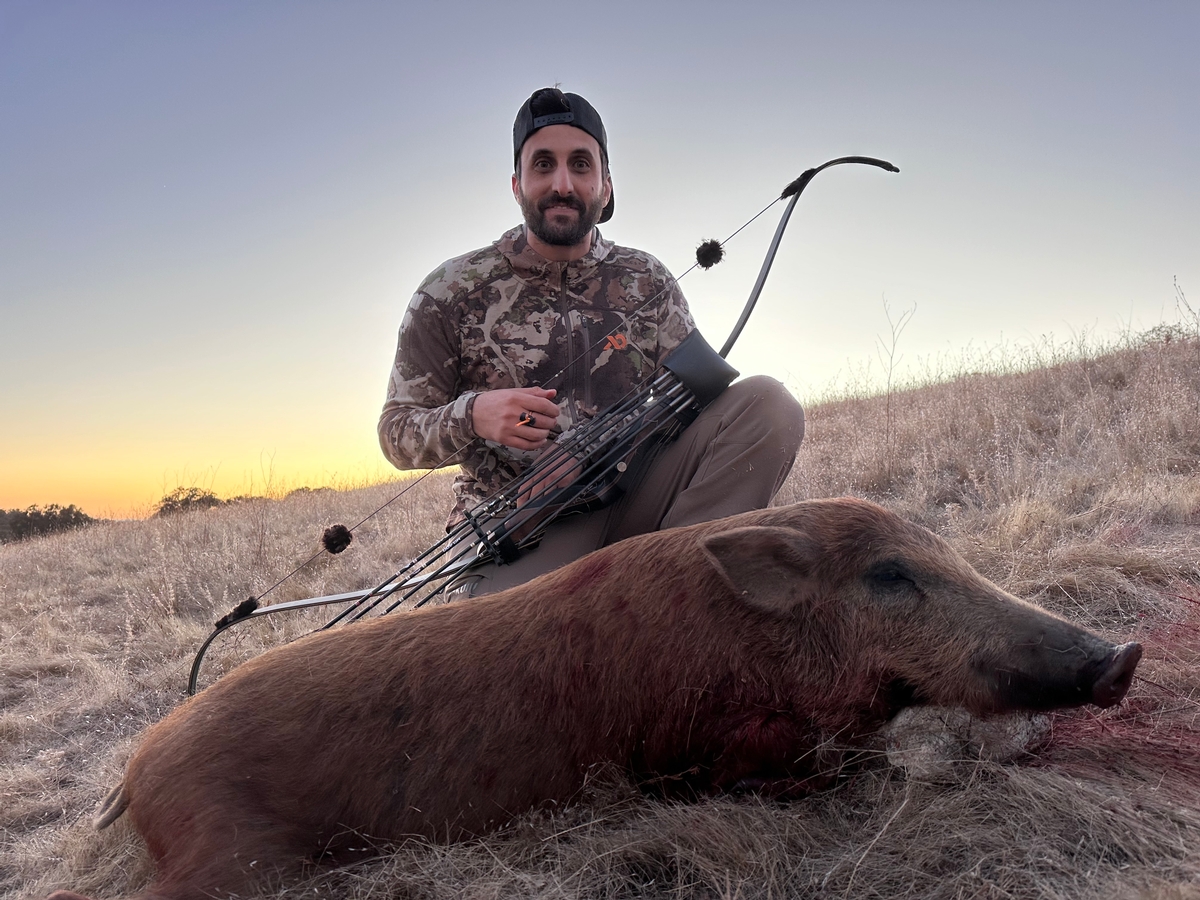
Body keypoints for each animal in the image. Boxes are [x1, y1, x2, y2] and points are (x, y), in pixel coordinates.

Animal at [48, 498, 1141, 900]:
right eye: (888, 576)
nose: (1123, 652)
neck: (750, 642)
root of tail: (135, 771)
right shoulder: (698, 747)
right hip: (233, 857)